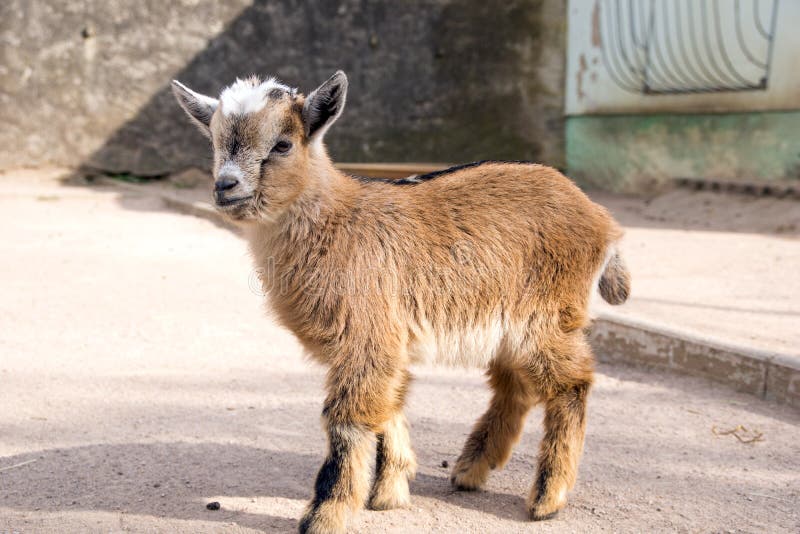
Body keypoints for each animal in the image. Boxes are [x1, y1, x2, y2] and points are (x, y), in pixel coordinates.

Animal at [172, 71, 630, 533]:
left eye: (282, 144)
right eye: (214, 141)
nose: (225, 186)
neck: (337, 221)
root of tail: (603, 221)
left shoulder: (368, 334)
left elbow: (350, 419)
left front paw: (325, 516)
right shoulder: (386, 343)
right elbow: (389, 404)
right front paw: (389, 492)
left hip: (546, 316)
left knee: (572, 382)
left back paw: (547, 497)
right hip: (509, 325)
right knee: (515, 385)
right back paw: (471, 469)